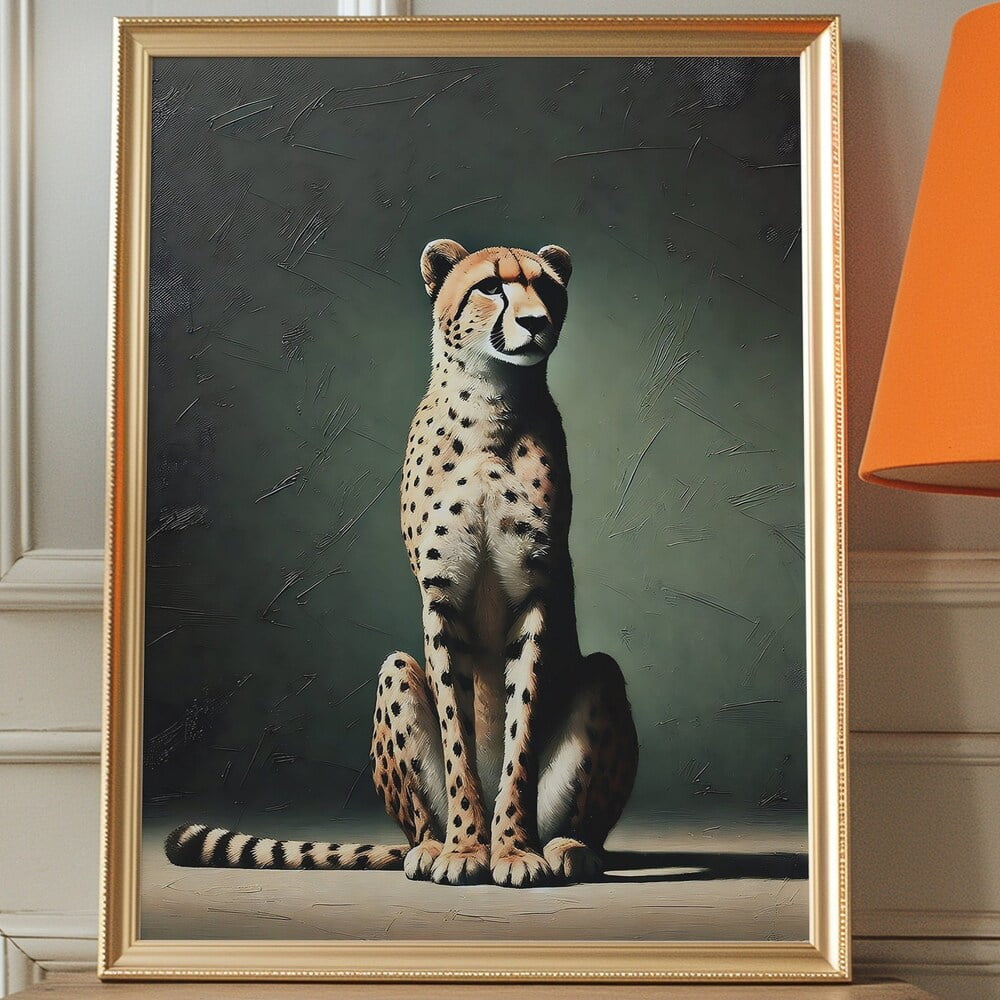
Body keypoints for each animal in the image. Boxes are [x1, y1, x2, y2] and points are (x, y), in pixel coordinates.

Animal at [165, 240, 638, 889]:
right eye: (491, 286)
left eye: (547, 287)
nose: (536, 321)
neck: (491, 404)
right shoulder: (441, 596)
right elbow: (457, 733)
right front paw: (465, 849)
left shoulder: (534, 595)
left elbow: (519, 739)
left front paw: (515, 851)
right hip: (394, 675)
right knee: (417, 813)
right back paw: (436, 847)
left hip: (603, 681)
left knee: (591, 736)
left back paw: (565, 846)